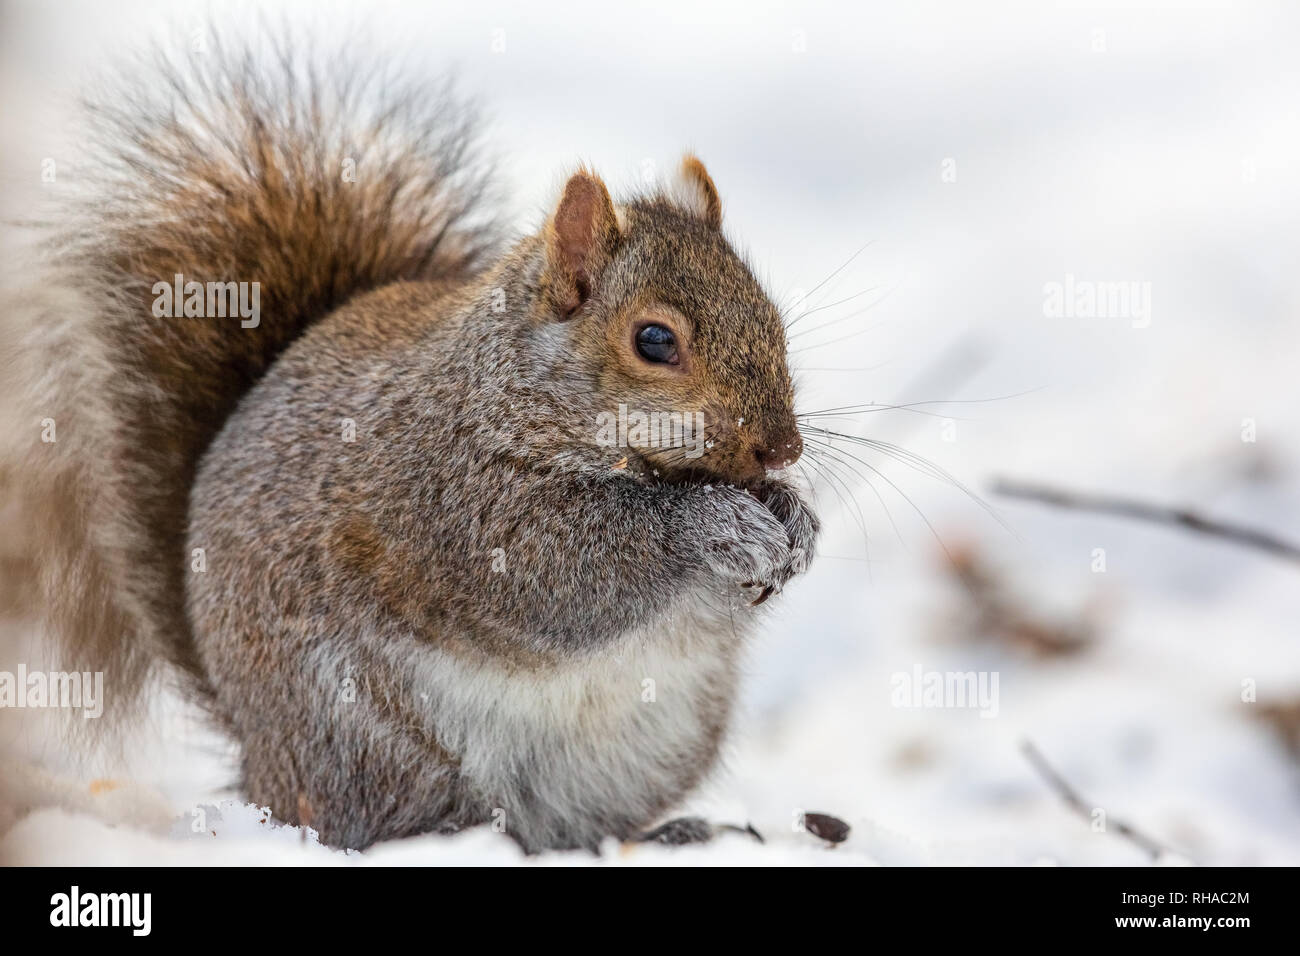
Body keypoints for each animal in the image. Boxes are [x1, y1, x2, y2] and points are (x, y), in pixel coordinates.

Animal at [2, 36, 818, 852]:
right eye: (654, 341)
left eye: (769, 315)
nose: (781, 449)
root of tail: (259, 759)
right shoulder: (453, 499)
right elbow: (567, 573)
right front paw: (716, 525)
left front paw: (794, 522)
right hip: (365, 735)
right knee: (402, 815)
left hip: (647, 746)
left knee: (571, 825)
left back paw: (664, 833)